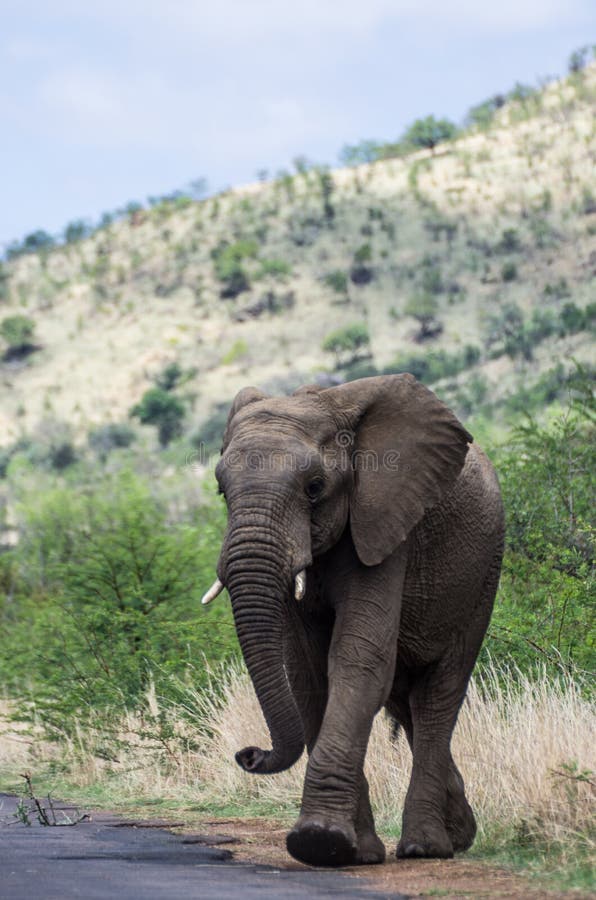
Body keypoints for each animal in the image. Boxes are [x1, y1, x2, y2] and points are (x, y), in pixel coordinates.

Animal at [201, 374, 504, 868]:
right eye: (222, 491)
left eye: (314, 487)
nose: (248, 754)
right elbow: (308, 673)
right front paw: (354, 851)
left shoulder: (385, 521)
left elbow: (358, 660)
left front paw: (320, 841)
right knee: (406, 701)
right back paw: (458, 835)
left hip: (482, 577)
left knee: (438, 694)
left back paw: (426, 847)